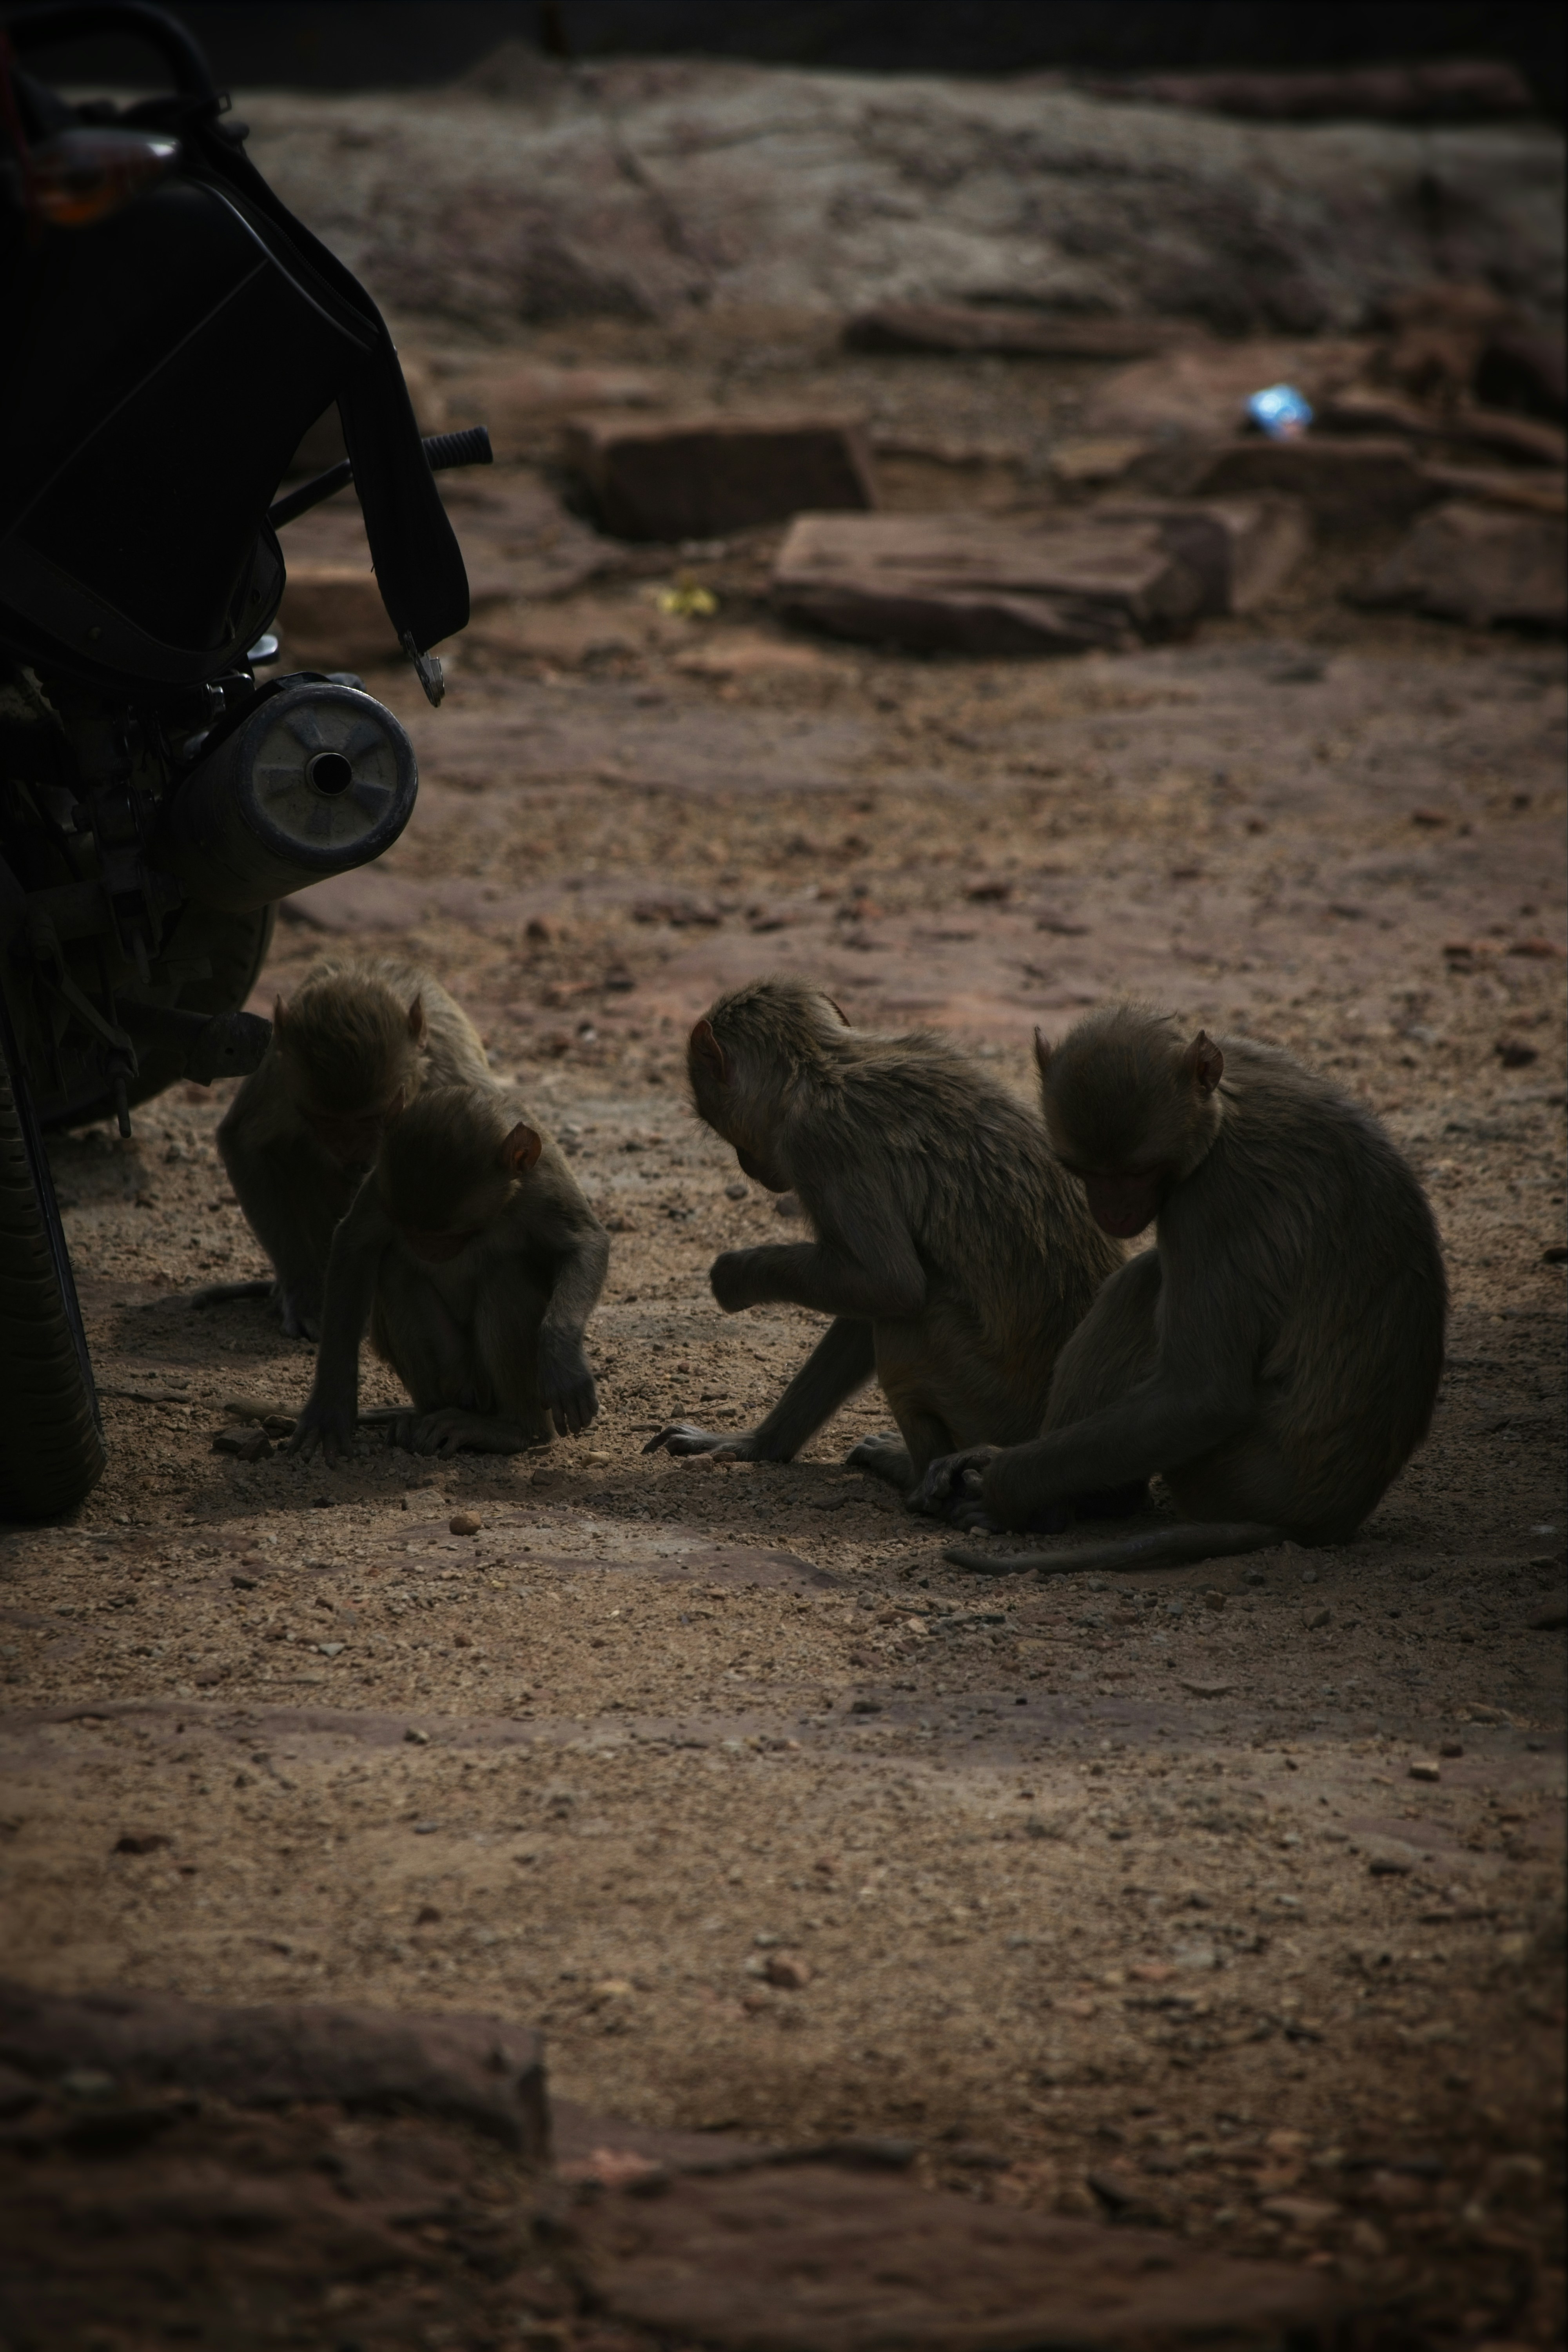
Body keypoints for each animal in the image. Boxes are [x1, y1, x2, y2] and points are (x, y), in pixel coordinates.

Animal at [207, 958, 491, 1339]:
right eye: (325, 1121)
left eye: (373, 1118)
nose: (349, 1149)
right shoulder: (280, 1074)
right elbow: (242, 1143)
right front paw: (303, 1292)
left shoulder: (451, 1071)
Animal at [289, 1083, 610, 1463]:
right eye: (409, 1229)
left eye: (448, 1236)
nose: (425, 1249)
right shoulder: (382, 1182)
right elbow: (355, 1245)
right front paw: (330, 1408)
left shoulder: (544, 1185)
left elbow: (585, 1245)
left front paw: (561, 1359)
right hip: (460, 1377)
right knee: (395, 1271)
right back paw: (429, 1418)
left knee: (505, 1278)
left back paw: (514, 1430)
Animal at [642, 977, 1126, 1498]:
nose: (746, 1165)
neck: (820, 1066)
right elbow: (866, 1302)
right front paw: (760, 1444)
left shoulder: (819, 1142)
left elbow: (889, 1284)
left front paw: (736, 1276)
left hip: (990, 1407)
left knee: (911, 1317)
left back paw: (915, 1473)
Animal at [912, 1005, 1448, 1574]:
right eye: (1087, 1170)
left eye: (1137, 1170)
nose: (1113, 1214)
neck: (1221, 1114)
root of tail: (1320, 1524)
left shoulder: (1212, 1203)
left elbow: (1202, 1396)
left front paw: (999, 1486)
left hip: (1232, 1477)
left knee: (1142, 1286)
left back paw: (1053, 1512)